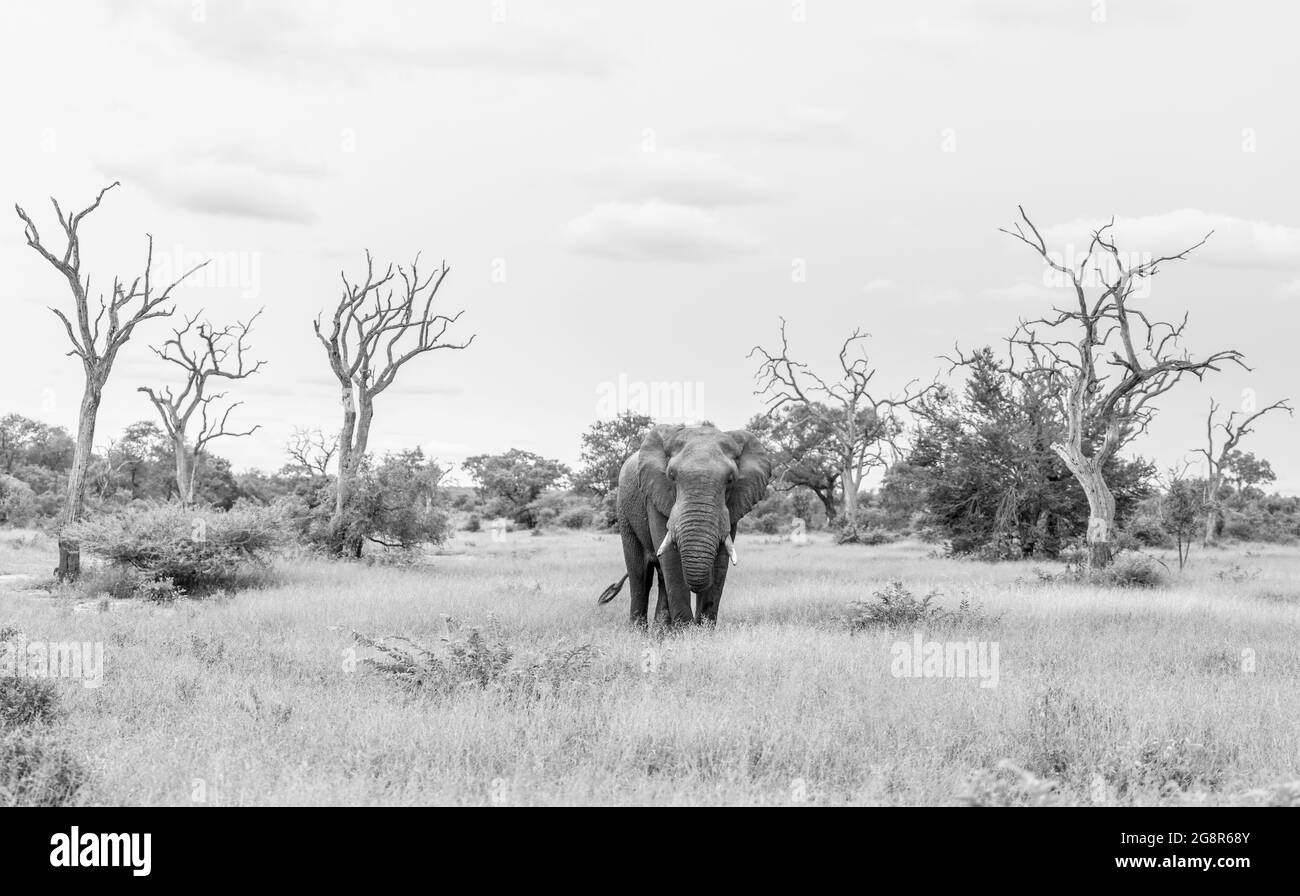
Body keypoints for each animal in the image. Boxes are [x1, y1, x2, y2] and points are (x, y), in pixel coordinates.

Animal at [597, 424, 771, 627]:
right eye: (671, 476)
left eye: (730, 480)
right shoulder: (655, 495)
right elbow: (672, 559)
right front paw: (686, 631)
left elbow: (720, 560)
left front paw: (703, 630)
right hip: (624, 513)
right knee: (640, 575)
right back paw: (639, 631)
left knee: (660, 576)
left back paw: (662, 631)